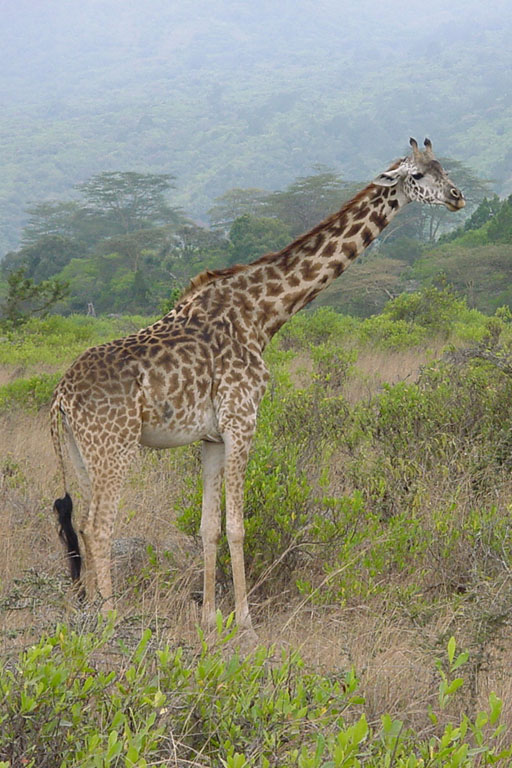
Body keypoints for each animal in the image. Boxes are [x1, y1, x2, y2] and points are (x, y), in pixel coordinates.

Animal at [51, 138, 464, 637]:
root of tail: (59, 397)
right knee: (99, 526)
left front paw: (210, 618)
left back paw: (90, 614)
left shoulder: (212, 436)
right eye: (418, 176)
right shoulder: (242, 420)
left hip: (81, 452)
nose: (458, 197)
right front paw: (245, 621)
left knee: (82, 523)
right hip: (115, 446)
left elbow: (209, 526)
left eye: (443, 167)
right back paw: (111, 619)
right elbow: (237, 525)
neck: (262, 314)